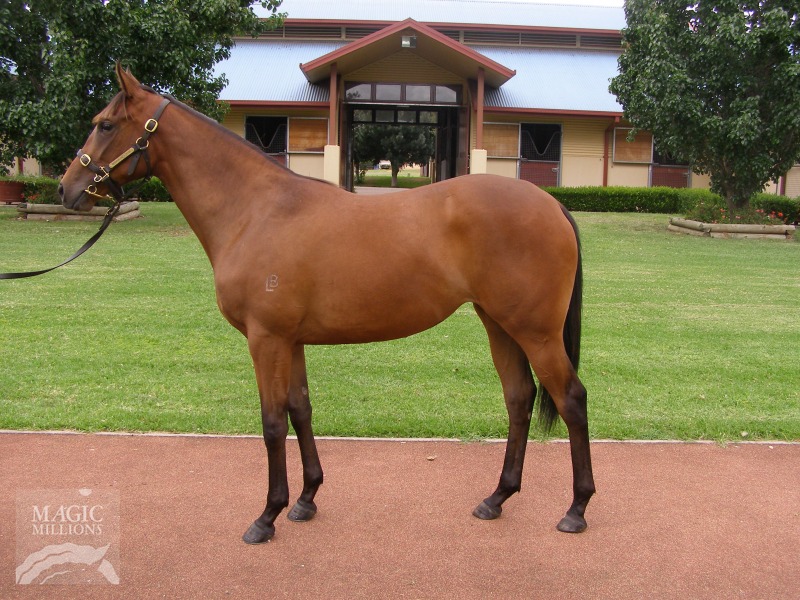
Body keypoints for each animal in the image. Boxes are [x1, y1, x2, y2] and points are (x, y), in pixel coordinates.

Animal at [59, 64, 595, 544]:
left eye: (105, 124)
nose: (67, 189)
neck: (255, 210)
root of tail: (551, 203)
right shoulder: (290, 341)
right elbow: (301, 409)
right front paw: (306, 499)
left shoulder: (266, 340)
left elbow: (272, 422)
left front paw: (267, 516)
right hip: (499, 324)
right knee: (519, 399)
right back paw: (497, 498)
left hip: (536, 332)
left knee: (571, 399)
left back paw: (576, 509)